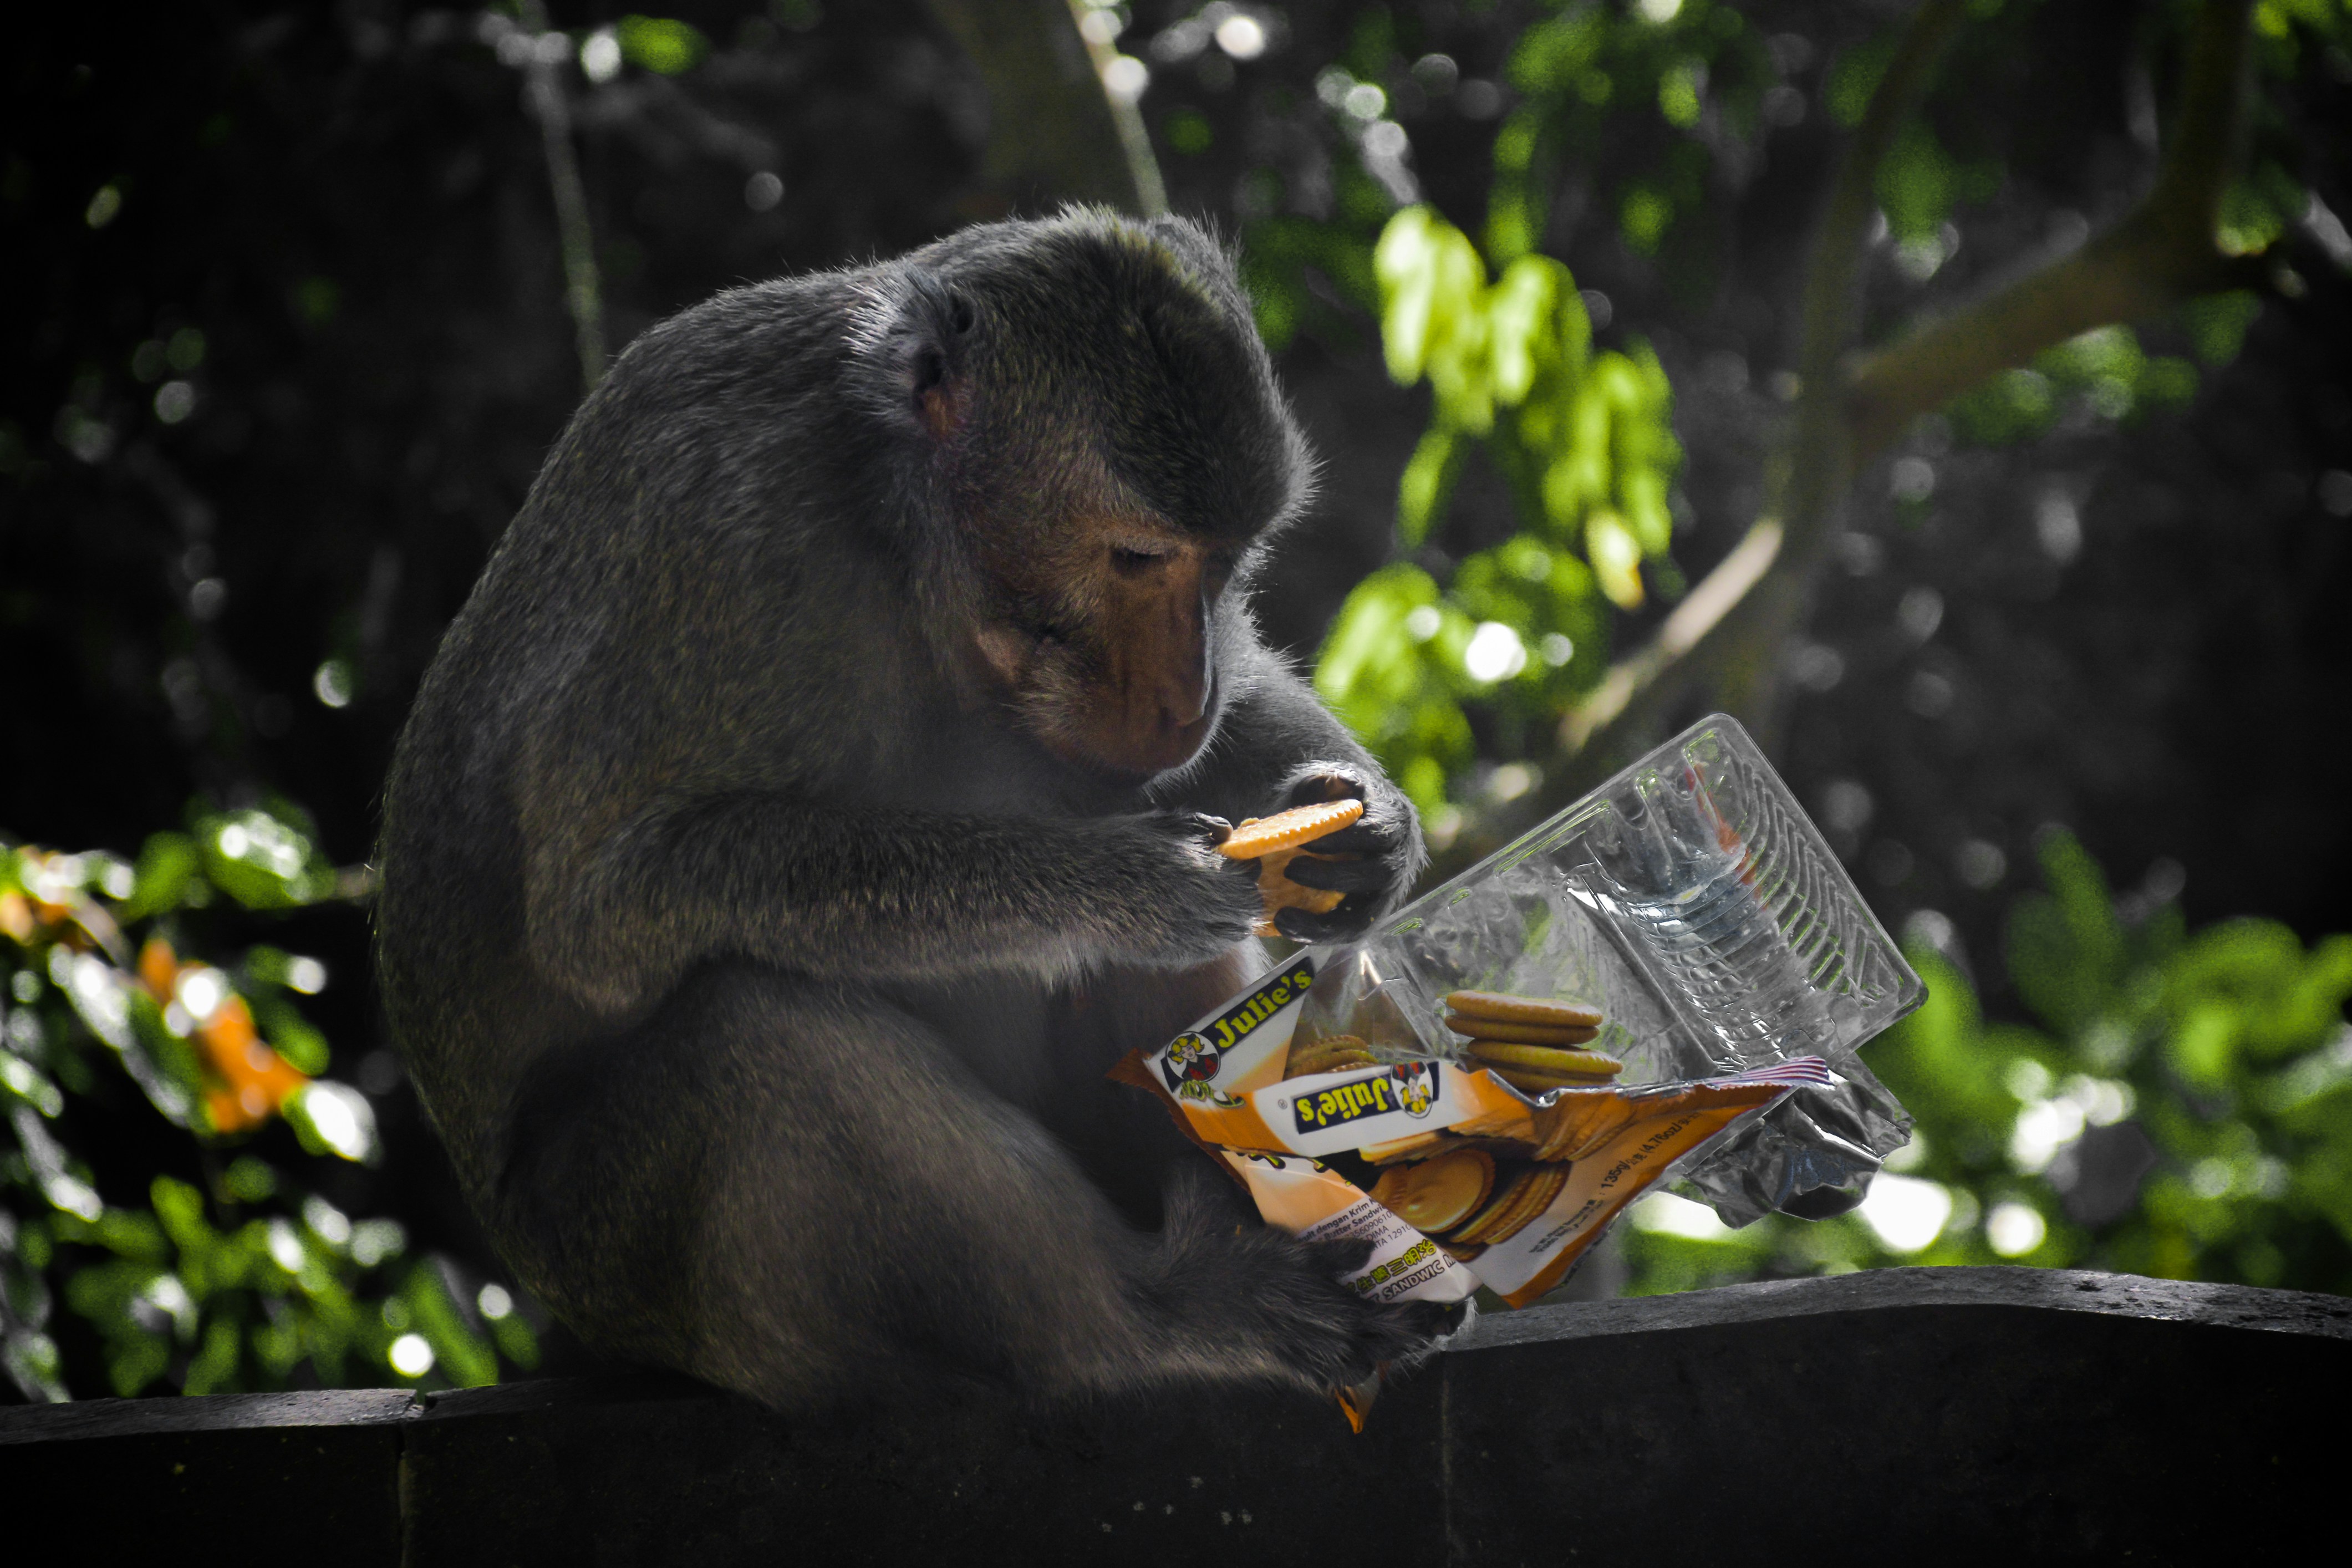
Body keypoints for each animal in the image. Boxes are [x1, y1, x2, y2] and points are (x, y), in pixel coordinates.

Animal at [374, 209, 1438, 1413]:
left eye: (1228, 561)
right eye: (1136, 557)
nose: (1186, 697)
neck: (894, 519)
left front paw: (1369, 828)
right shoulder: (731, 540)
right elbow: (600, 907)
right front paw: (1125, 890)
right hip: (650, 1274)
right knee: (756, 1036)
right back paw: (1157, 1319)